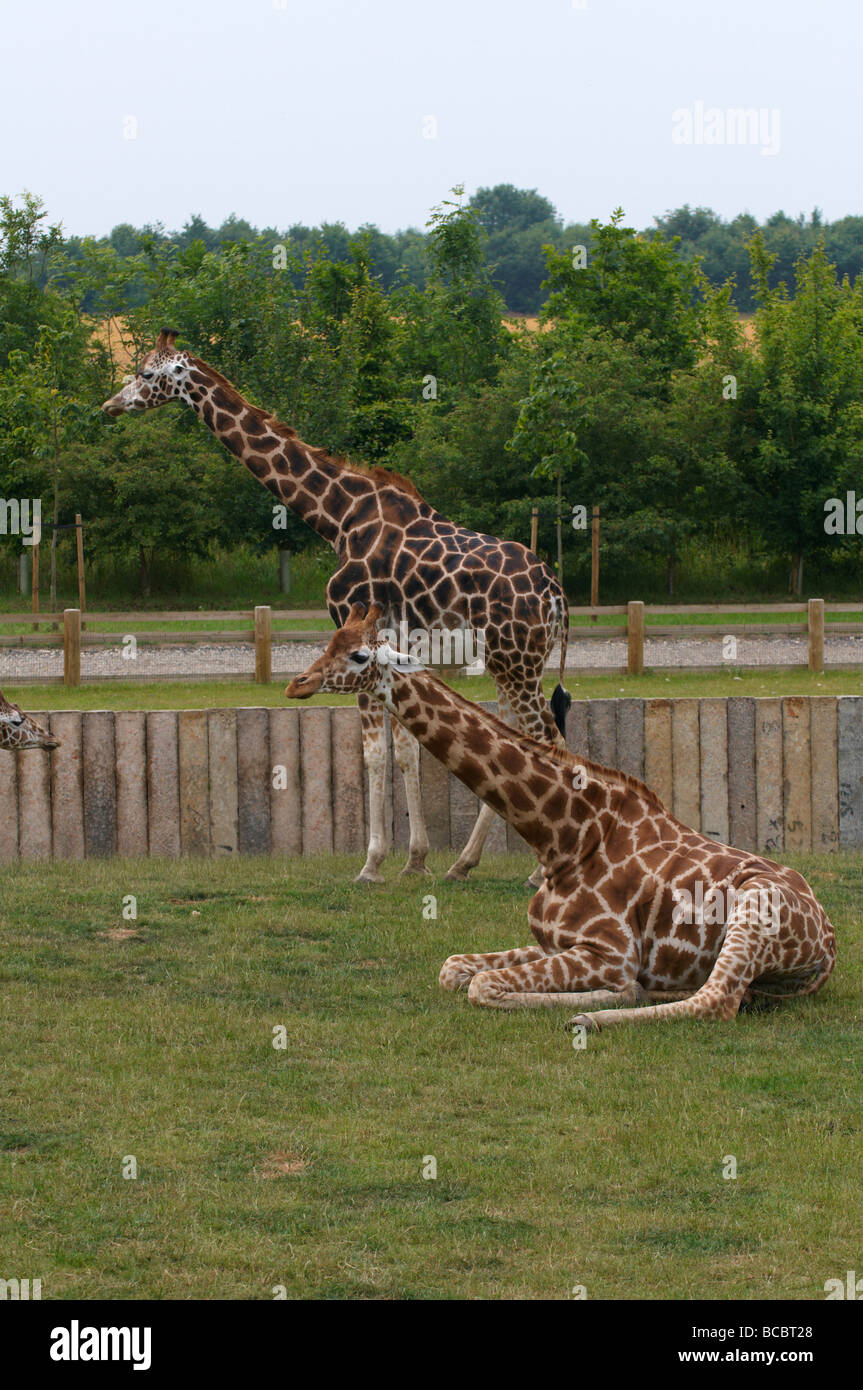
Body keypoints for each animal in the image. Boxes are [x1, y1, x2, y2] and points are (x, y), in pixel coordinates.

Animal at [102, 329, 571, 884]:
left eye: (147, 374)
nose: (111, 405)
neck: (337, 518)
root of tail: (556, 595)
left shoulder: (361, 633)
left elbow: (373, 755)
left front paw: (372, 864)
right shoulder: (396, 653)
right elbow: (406, 751)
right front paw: (416, 861)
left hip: (518, 662)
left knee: (550, 741)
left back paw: (538, 871)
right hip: (509, 664)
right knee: (526, 739)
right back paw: (467, 862)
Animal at [286, 605, 836, 1029]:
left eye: (358, 654)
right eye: (328, 642)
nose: (297, 683)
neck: (562, 837)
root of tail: (828, 941)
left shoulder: (609, 952)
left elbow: (483, 984)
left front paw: (615, 994)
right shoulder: (552, 942)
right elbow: (454, 967)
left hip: (755, 905)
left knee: (717, 1001)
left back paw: (590, 1017)